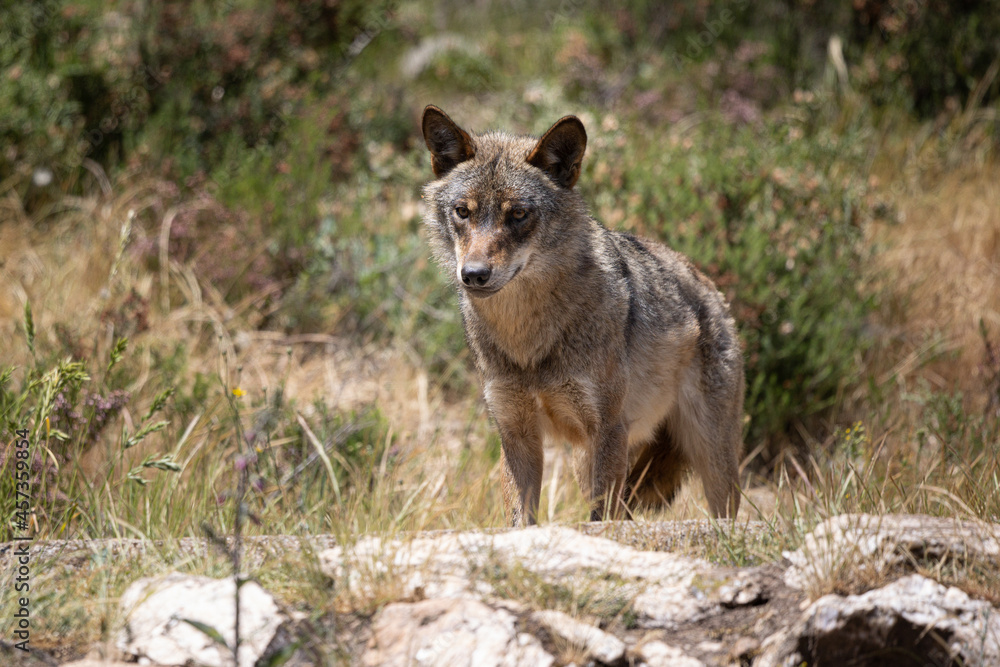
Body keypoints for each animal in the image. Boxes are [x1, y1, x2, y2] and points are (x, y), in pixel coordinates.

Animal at [420, 105, 744, 525]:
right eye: (462, 212)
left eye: (518, 214)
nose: (474, 274)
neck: (527, 339)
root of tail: (709, 288)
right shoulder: (516, 434)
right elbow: (519, 519)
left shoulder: (607, 429)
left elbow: (600, 520)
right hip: (585, 461)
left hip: (710, 458)